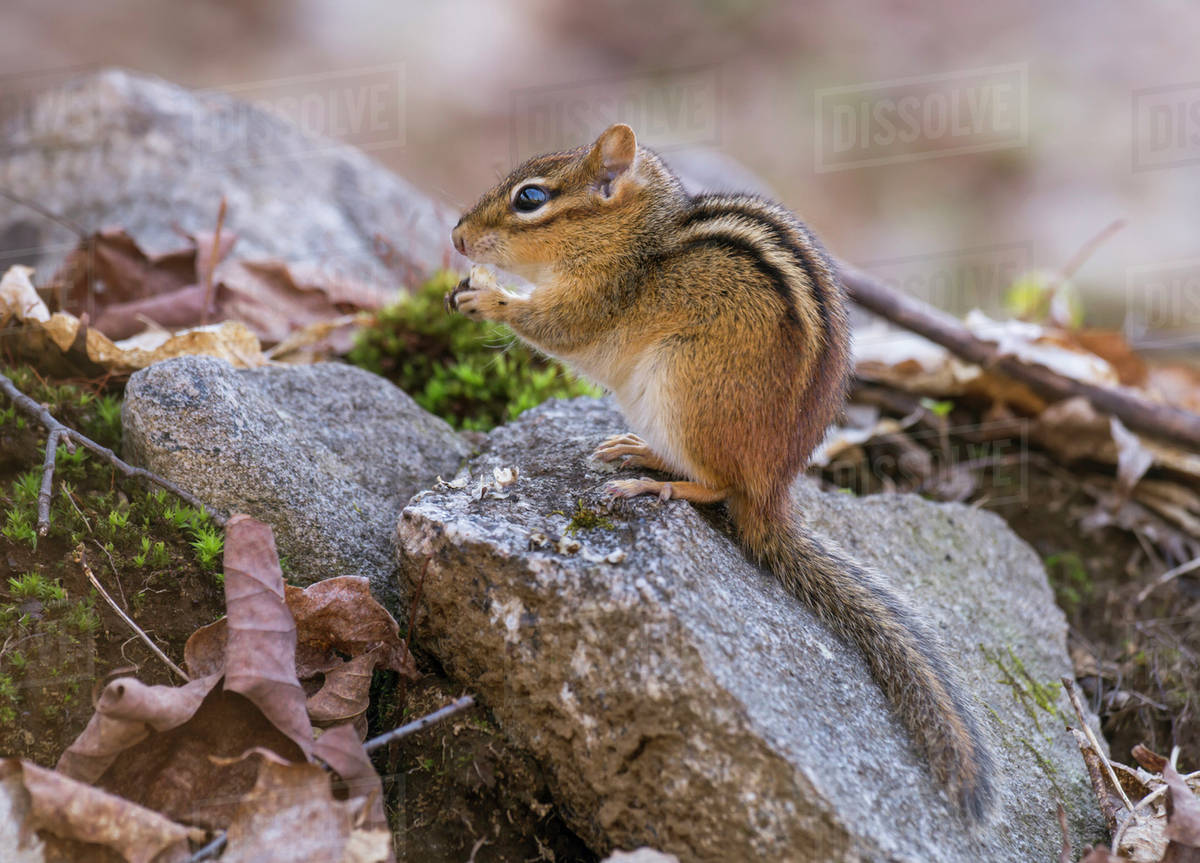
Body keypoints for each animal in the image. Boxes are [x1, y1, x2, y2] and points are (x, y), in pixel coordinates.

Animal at [446, 123, 994, 819]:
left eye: (530, 199)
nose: (457, 237)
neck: (634, 238)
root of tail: (773, 490)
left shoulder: (598, 295)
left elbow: (555, 325)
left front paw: (489, 296)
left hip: (682, 388)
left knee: (716, 488)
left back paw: (654, 482)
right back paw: (638, 451)